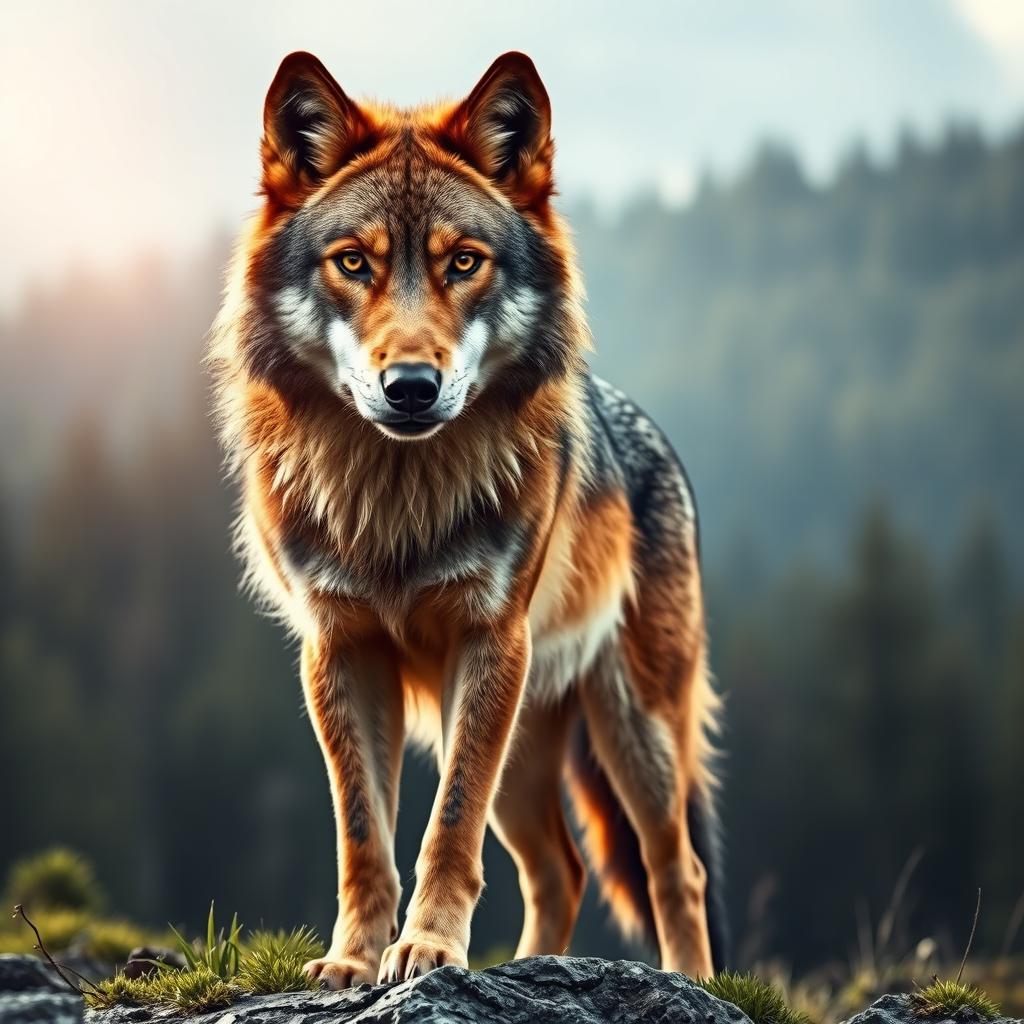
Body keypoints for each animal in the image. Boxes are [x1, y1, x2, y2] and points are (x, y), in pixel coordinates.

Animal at [209, 50, 726, 987]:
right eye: (353, 262)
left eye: (463, 263)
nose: (411, 387)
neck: (397, 500)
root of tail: (651, 434)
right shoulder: (339, 651)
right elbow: (363, 836)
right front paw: (353, 961)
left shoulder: (488, 644)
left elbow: (447, 828)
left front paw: (428, 952)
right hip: (525, 752)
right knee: (562, 868)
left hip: (628, 731)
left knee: (676, 866)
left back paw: (691, 983)